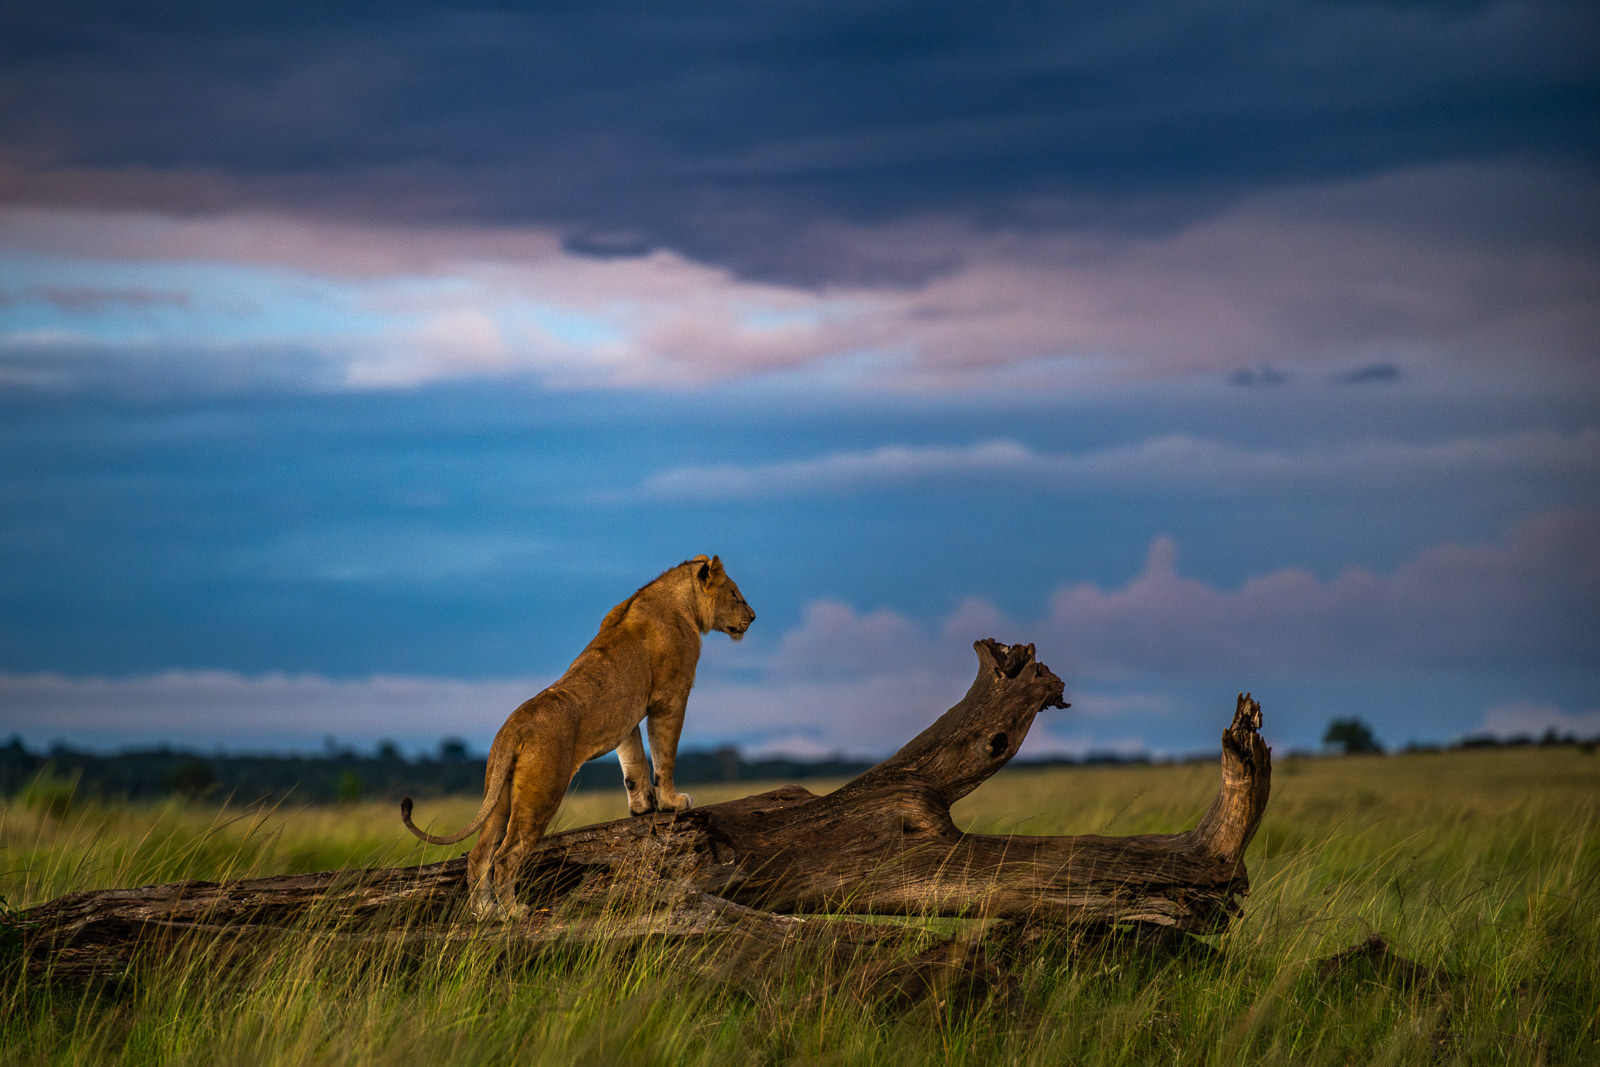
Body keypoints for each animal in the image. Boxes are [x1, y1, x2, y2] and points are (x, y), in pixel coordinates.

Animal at [401, 554, 755, 919]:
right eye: (735, 595)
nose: (753, 617)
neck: (679, 601)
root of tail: (516, 725)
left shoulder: (627, 714)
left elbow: (634, 761)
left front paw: (643, 807)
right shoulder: (669, 697)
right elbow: (663, 756)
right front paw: (671, 802)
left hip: (498, 792)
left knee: (479, 854)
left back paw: (486, 913)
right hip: (543, 792)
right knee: (507, 854)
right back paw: (514, 912)